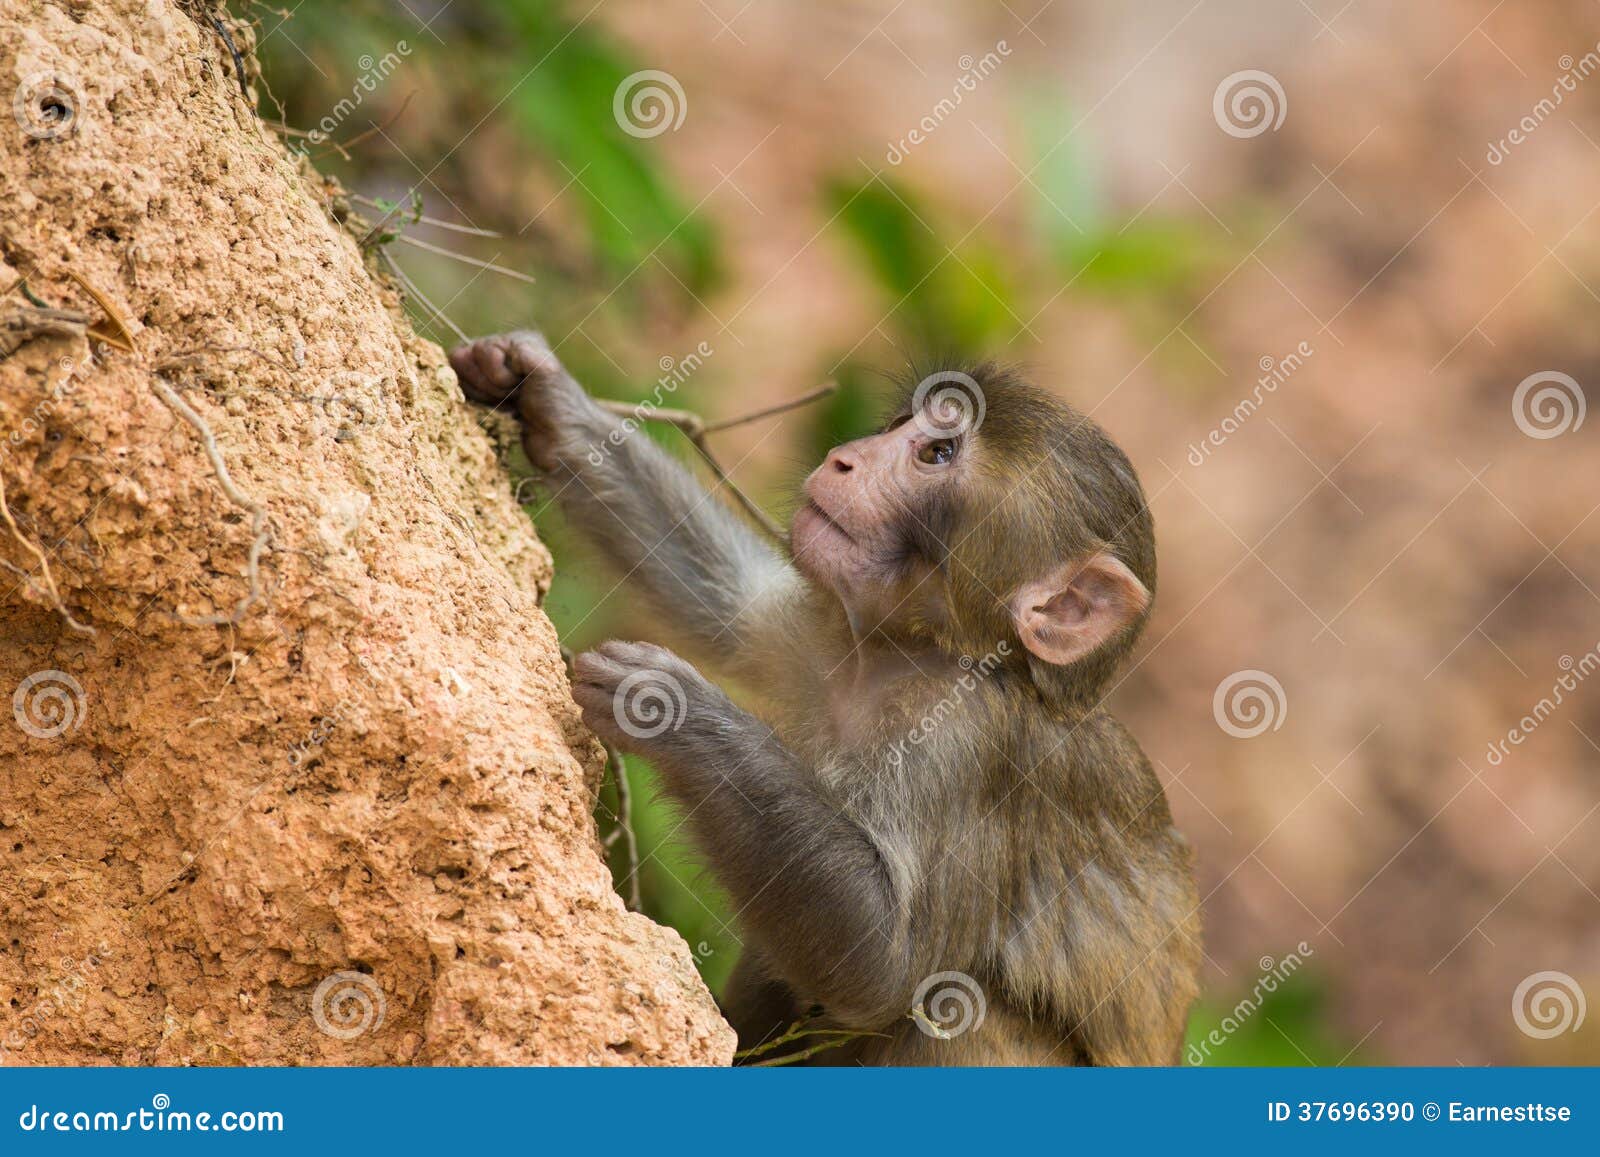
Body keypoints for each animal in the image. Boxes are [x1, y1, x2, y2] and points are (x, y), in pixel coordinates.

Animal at [450, 331, 1200, 1065]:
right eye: (902, 426)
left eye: (937, 453)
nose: (845, 459)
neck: (907, 657)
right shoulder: (824, 642)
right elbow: (732, 606)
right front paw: (548, 396)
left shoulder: (973, 750)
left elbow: (884, 964)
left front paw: (672, 707)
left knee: (968, 1018)